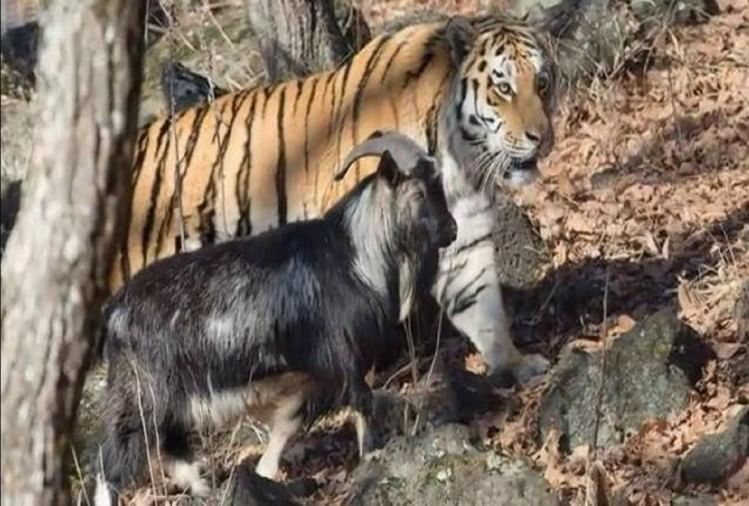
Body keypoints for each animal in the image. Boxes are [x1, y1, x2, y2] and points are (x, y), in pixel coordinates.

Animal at [92, 131, 458, 505]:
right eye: (418, 193)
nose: (452, 230)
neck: (355, 255)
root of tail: (114, 311)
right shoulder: (343, 358)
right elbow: (362, 406)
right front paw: (371, 456)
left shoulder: (313, 375)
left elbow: (288, 421)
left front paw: (266, 471)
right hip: (141, 393)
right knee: (113, 463)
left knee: (172, 448)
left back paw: (208, 488)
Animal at [114, 14, 558, 384]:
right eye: (504, 88)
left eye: (542, 83)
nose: (542, 137)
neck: (462, 157)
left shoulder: (462, 238)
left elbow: (485, 309)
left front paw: (515, 364)